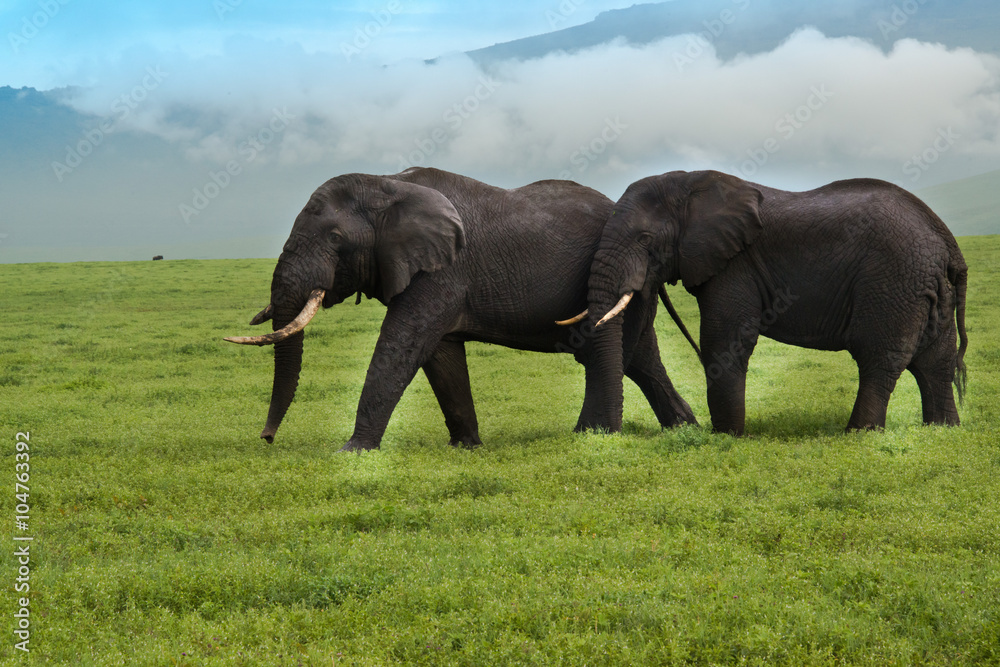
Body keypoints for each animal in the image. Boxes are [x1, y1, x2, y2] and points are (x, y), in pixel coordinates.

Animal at [224, 167, 699, 451]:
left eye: (336, 239)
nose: (267, 439)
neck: (387, 183)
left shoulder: (443, 270)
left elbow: (401, 346)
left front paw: (351, 452)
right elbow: (441, 356)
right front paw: (467, 447)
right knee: (641, 359)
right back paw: (684, 428)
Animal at [575, 170, 968, 435]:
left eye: (644, 239)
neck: (689, 183)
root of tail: (946, 238)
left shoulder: (736, 265)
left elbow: (724, 341)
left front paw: (727, 436)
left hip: (893, 280)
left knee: (879, 358)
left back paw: (857, 434)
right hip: (924, 286)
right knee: (935, 361)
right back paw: (942, 430)